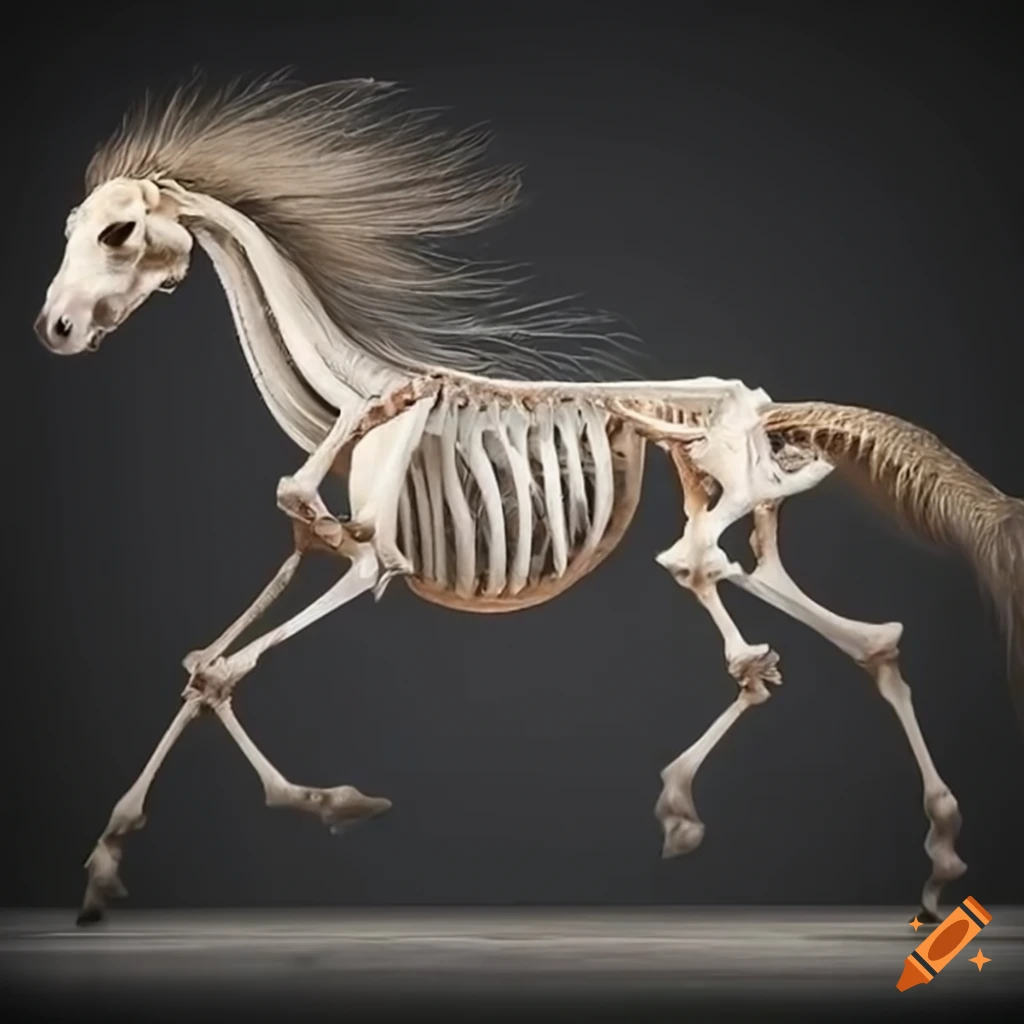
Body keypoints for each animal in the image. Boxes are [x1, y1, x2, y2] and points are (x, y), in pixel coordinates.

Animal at [34, 73, 1024, 926]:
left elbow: (237, 661)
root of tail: (766, 407)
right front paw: (107, 867)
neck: (348, 388)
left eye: (119, 233)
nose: (54, 329)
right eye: (73, 226)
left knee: (720, 600)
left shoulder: (370, 558)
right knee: (853, 634)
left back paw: (687, 808)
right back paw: (935, 861)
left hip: (720, 501)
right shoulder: (313, 545)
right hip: (733, 504)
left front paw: (335, 802)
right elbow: (206, 666)